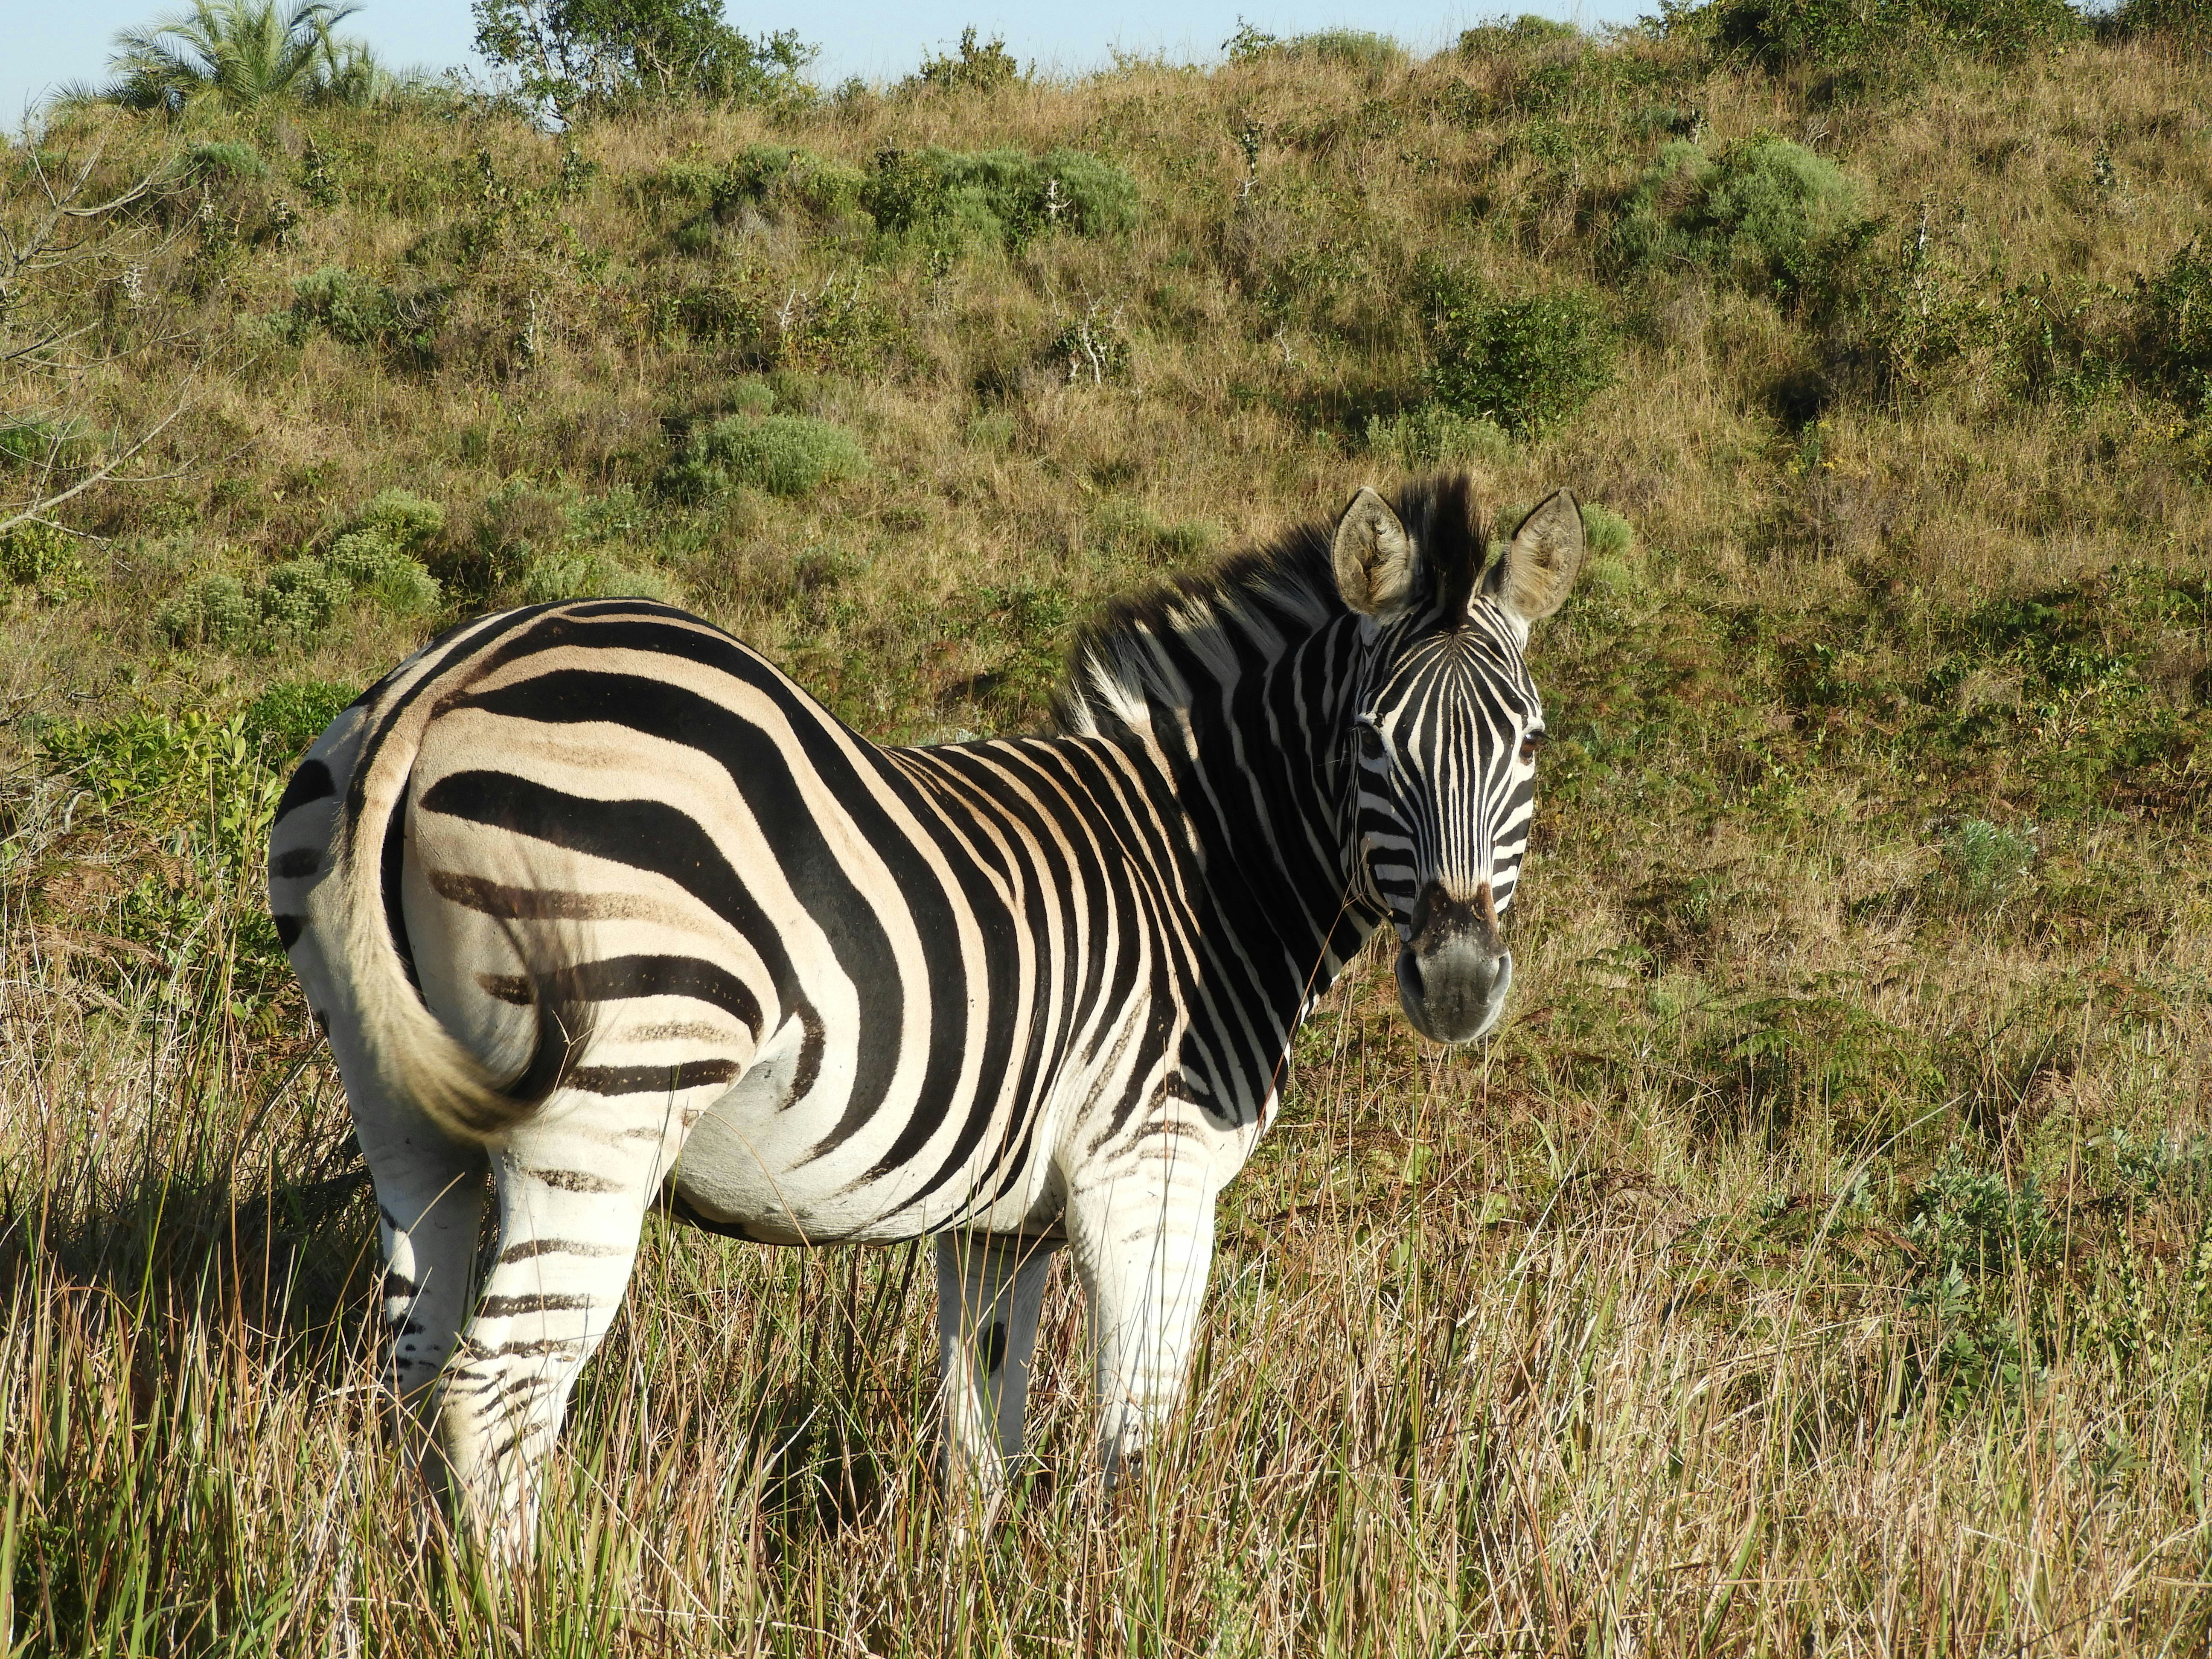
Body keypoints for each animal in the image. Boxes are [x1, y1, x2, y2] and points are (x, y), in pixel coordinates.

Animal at [266, 473, 1583, 1554]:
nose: (1458, 981)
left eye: (1528, 742)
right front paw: (1125, 1593)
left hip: (397, 1106)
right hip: (611, 1095)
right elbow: (1134, 1439)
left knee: (413, 1362)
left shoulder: (997, 1224)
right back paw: (525, 1604)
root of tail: (449, 675)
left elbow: (979, 1441)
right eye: (1370, 743)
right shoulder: (1150, 1171)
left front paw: (974, 1594)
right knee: (499, 1391)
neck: (1202, 867)